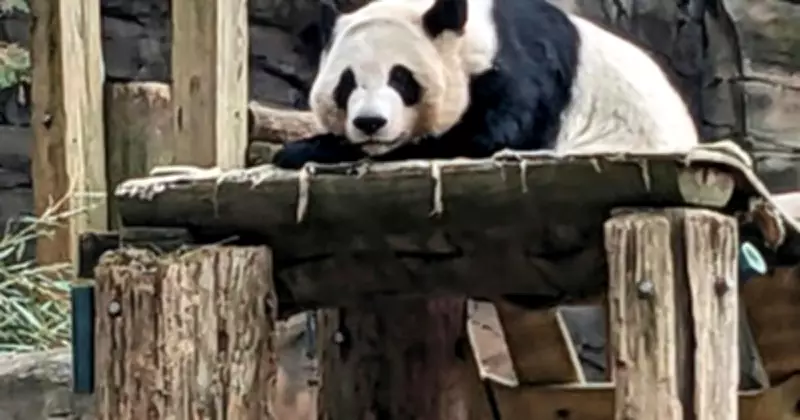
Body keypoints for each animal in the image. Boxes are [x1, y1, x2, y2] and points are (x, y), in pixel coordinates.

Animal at [271, 0, 699, 169]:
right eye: (347, 84)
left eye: (401, 78)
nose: (370, 123)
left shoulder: (521, 71)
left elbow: (482, 139)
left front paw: (305, 149)